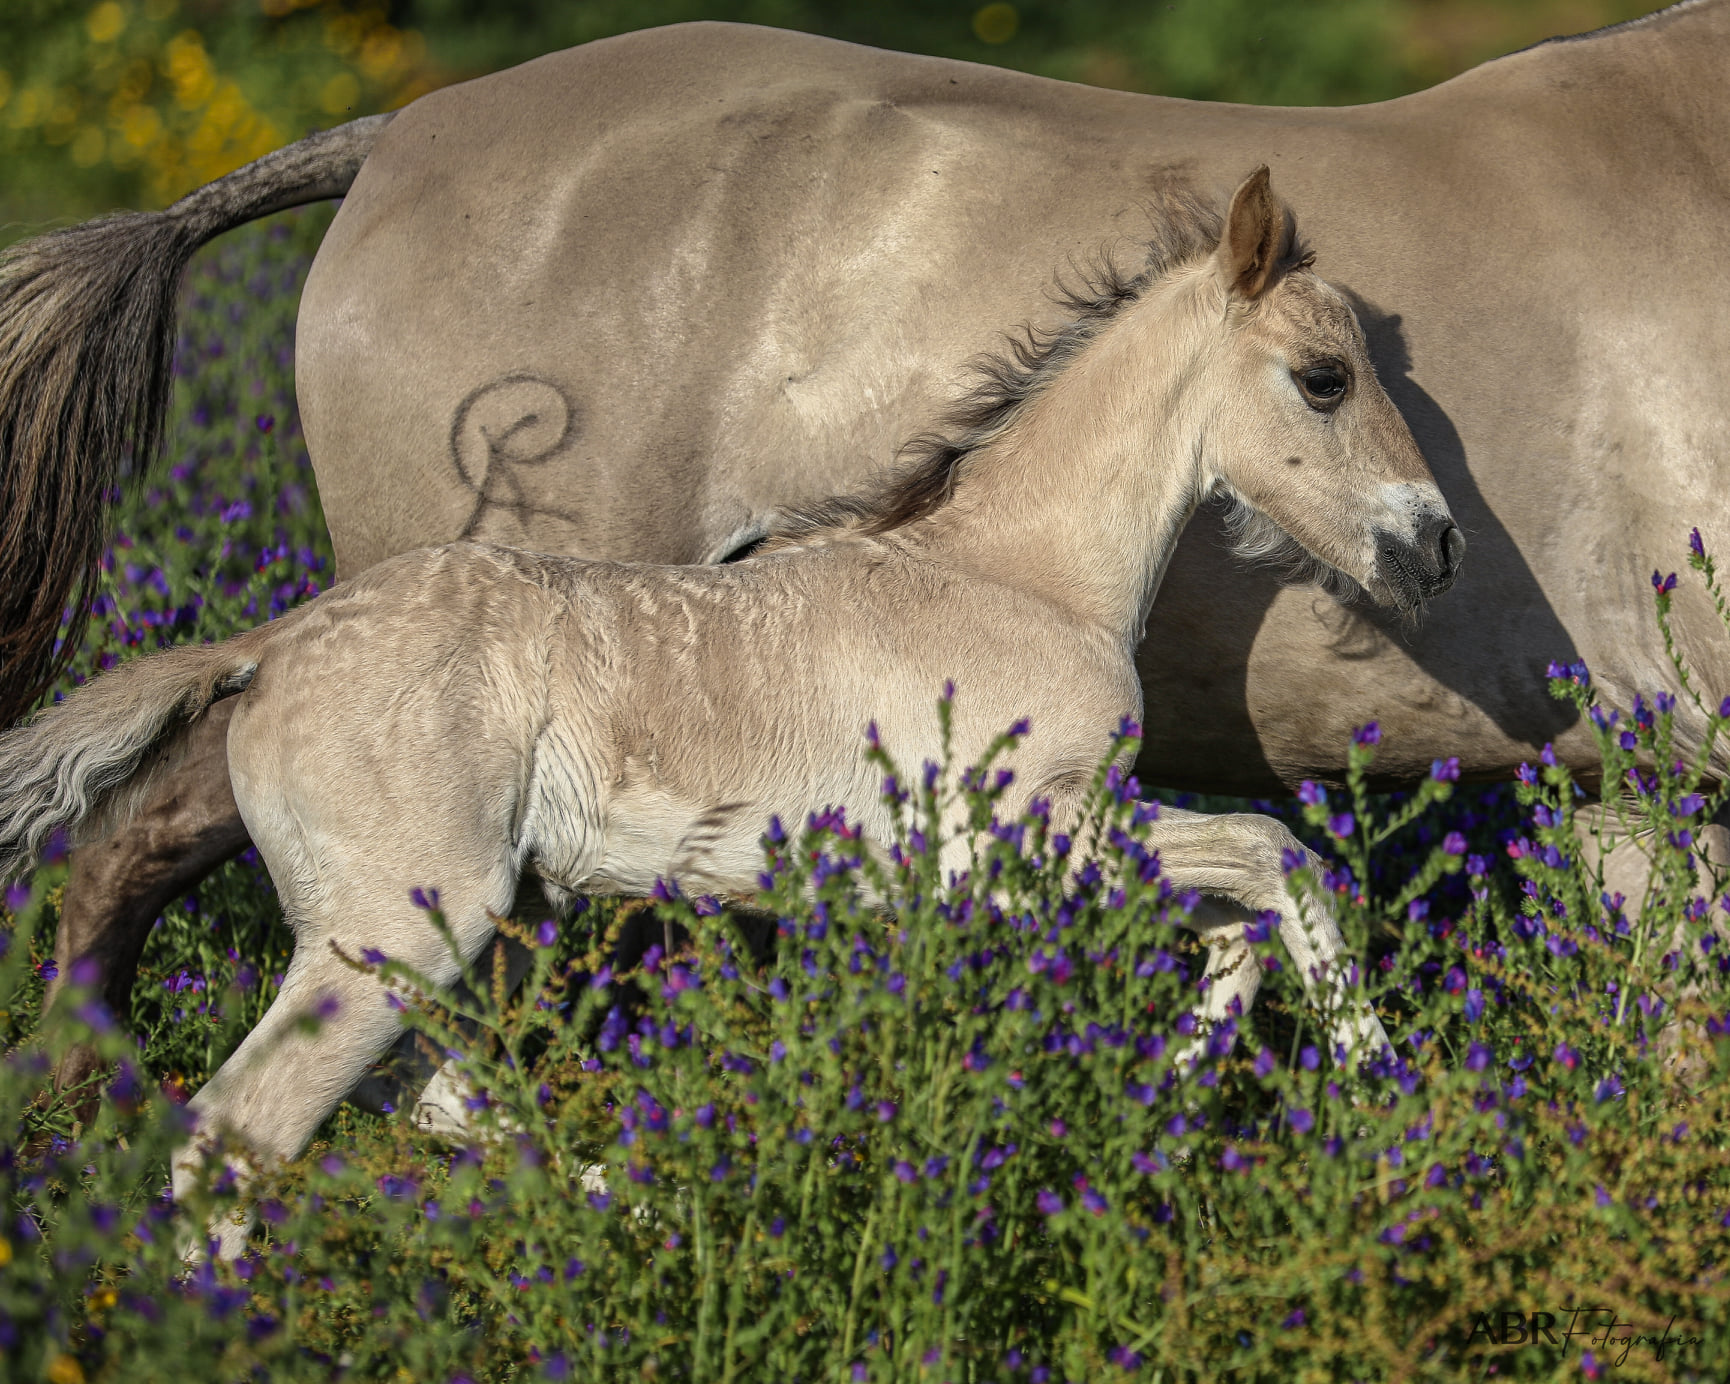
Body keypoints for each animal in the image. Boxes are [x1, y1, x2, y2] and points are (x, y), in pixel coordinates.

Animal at [0, 171, 1460, 1255]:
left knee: (442, 1108)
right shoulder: (1020, 848)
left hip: (457, 944)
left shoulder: (1078, 845)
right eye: (1324, 378)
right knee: (240, 1137)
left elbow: (1239, 916)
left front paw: (1153, 1105)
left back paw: (650, 1203)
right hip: (388, 942)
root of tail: (270, 645)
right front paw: (1385, 1102)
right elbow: (1281, 861)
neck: (1018, 575)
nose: (1434, 544)